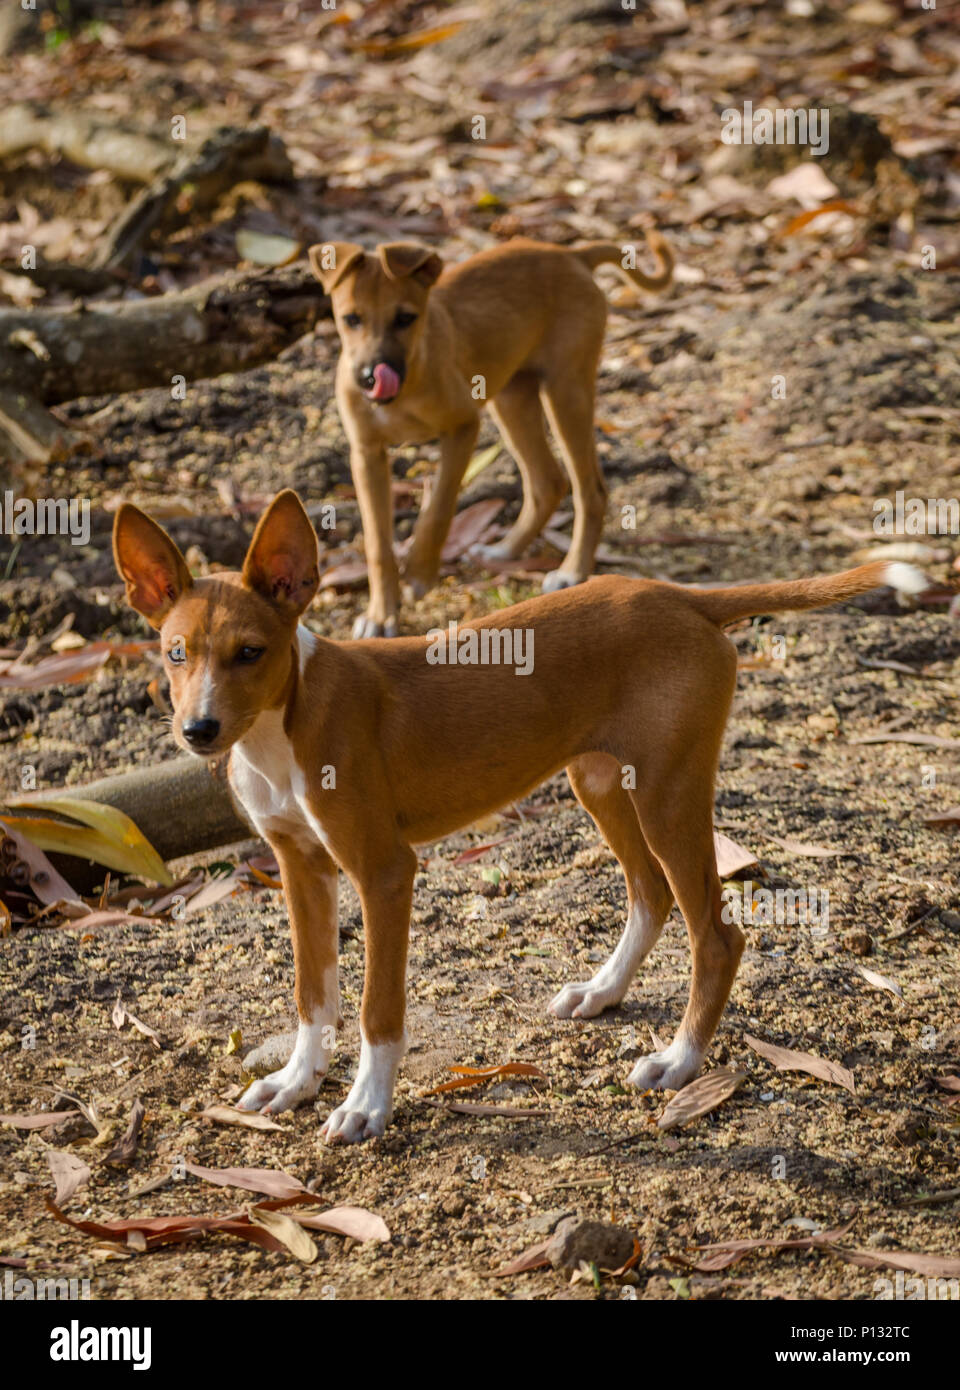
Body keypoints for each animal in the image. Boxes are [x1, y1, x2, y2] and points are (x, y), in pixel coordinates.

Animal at [114, 494, 933, 1145]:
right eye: (175, 654)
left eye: (250, 653)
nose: (199, 731)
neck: (287, 725)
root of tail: (679, 595)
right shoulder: (299, 869)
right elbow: (313, 993)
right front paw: (296, 1079)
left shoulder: (385, 871)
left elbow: (379, 1010)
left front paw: (366, 1106)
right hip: (599, 781)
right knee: (651, 894)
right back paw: (602, 992)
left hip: (668, 792)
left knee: (718, 934)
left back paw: (680, 1060)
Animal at [311, 229, 672, 639]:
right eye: (351, 319)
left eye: (405, 318)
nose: (372, 376)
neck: (411, 378)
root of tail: (571, 254)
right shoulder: (366, 453)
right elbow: (377, 543)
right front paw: (381, 613)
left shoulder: (463, 428)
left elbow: (437, 510)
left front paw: (420, 573)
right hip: (513, 398)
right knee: (547, 482)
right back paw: (505, 551)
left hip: (566, 391)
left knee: (590, 489)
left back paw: (571, 571)